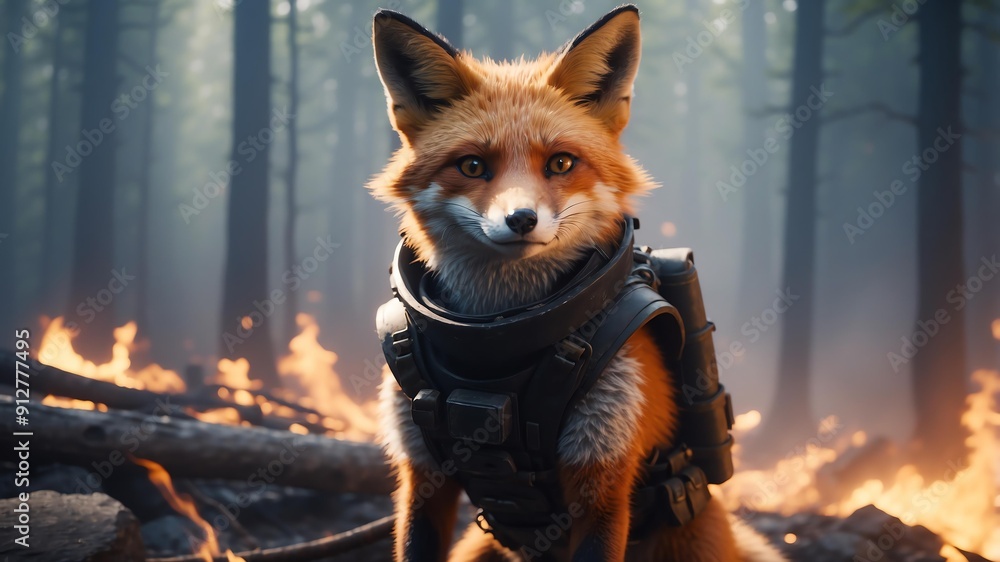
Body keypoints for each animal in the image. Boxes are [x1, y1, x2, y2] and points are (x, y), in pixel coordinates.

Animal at [367, 5, 787, 562]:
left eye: (561, 162)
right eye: (473, 166)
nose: (521, 219)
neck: (497, 344)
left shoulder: (601, 477)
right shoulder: (423, 473)